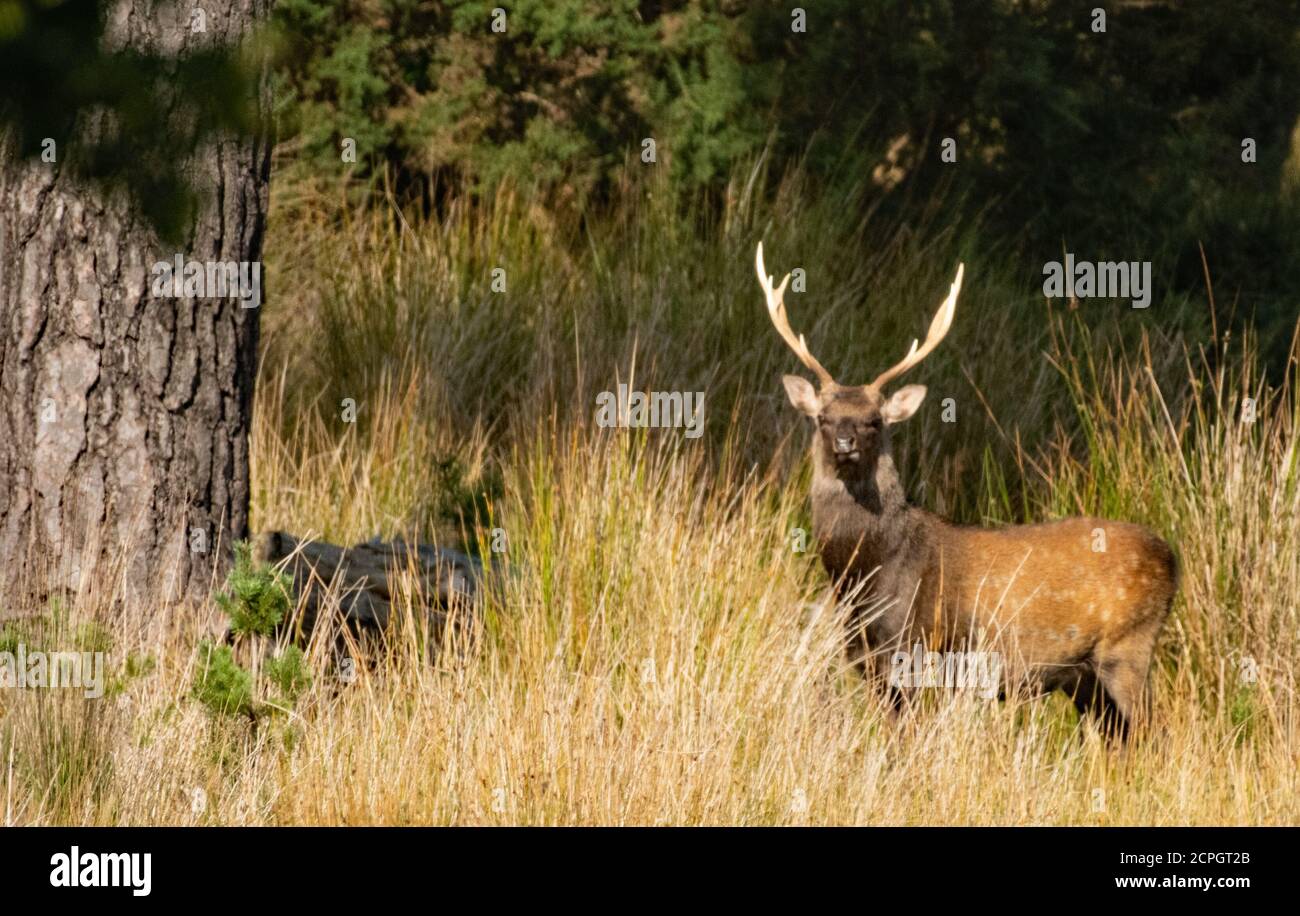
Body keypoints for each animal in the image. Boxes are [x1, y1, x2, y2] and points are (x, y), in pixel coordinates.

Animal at [756, 243, 1178, 737]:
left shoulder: (923, 652)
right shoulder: (871, 667)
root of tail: (1173, 560)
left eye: (874, 420)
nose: (845, 442)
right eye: (822, 417)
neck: (867, 574)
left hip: (1129, 648)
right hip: (1085, 680)